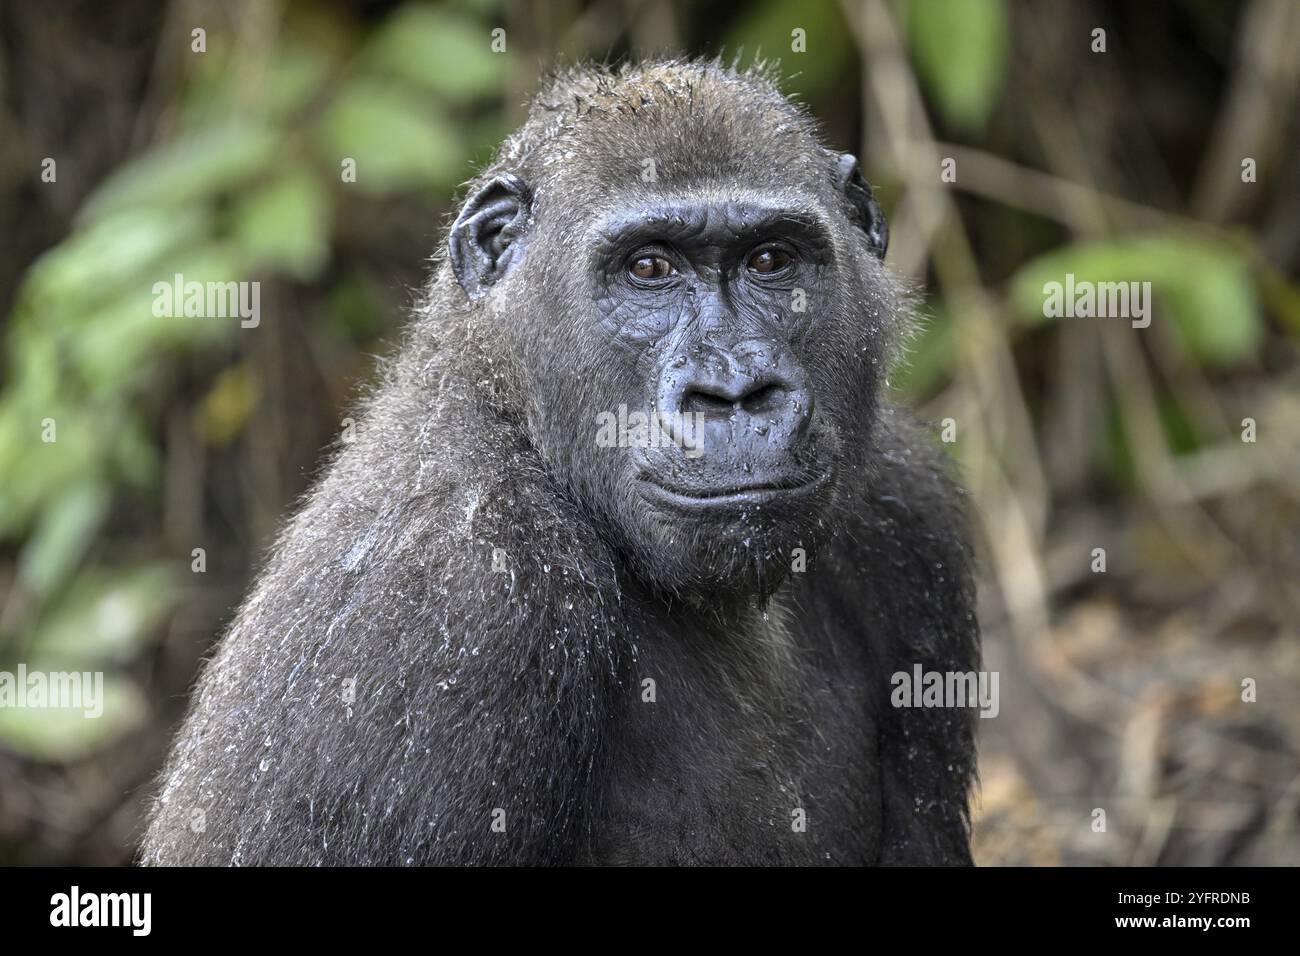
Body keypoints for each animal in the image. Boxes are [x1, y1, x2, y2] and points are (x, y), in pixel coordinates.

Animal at [141, 59, 980, 866]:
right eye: (649, 269)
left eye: (771, 259)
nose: (734, 391)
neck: (512, 409)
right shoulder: (459, 590)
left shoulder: (909, 509)